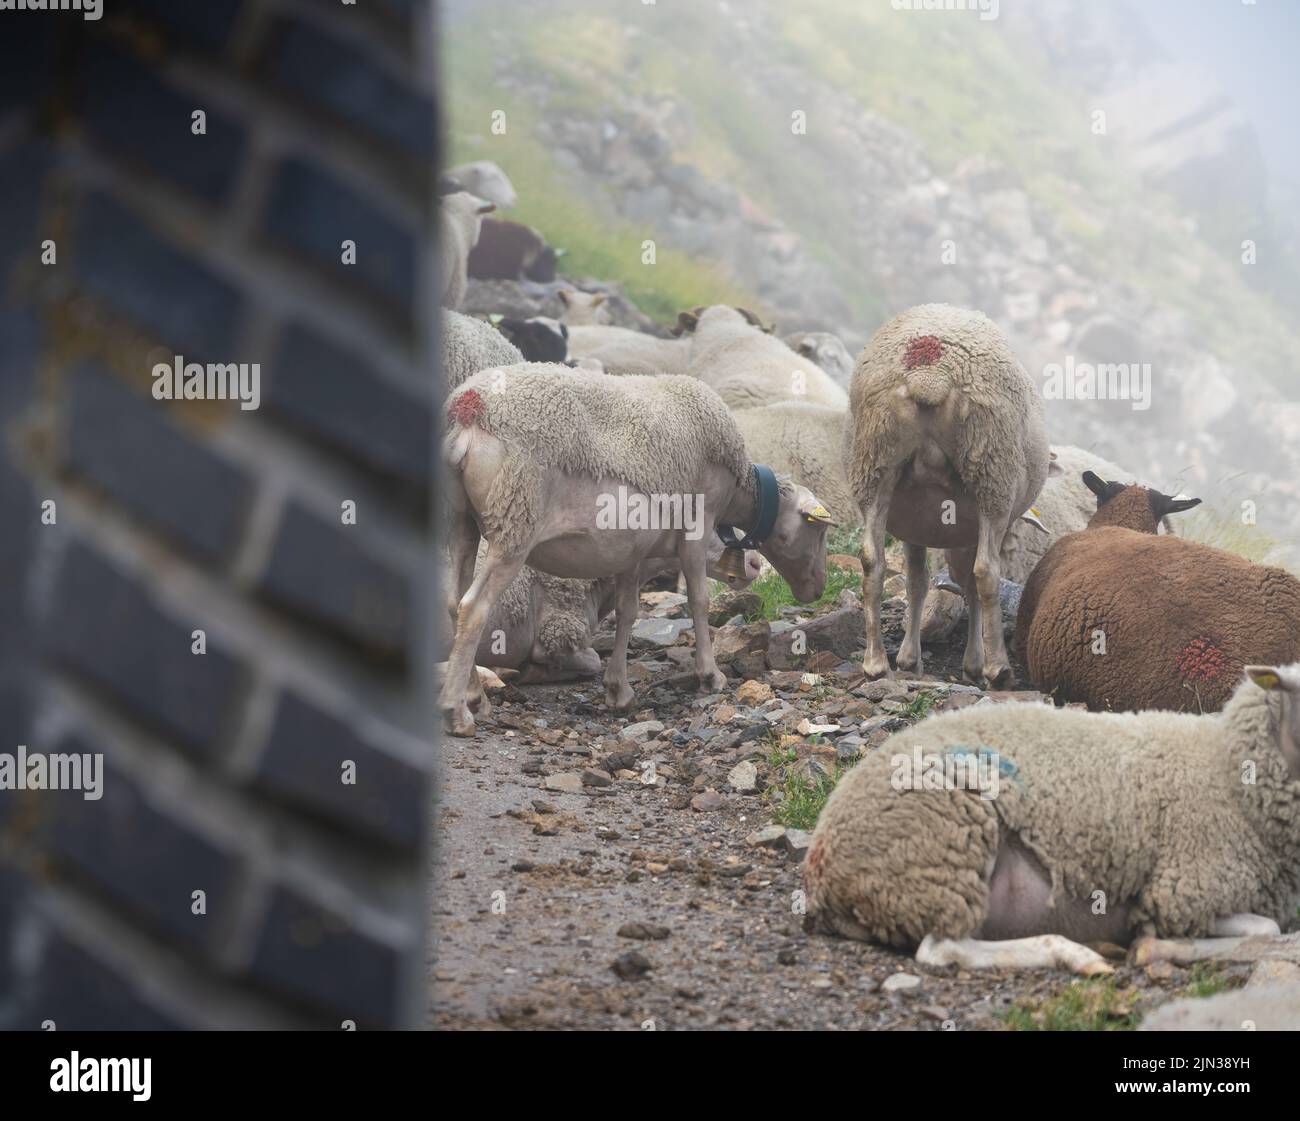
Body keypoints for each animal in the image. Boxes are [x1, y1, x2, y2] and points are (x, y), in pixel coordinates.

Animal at [440, 364, 836, 735]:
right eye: (817, 531)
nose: (818, 588)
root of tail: (470, 409)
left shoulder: (630, 550)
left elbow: (627, 612)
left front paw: (619, 689)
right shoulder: (697, 523)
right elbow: (699, 601)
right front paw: (709, 675)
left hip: (462, 520)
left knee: (454, 602)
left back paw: (475, 698)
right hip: (516, 519)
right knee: (474, 607)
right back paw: (457, 712)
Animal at [805, 663, 1300, 975]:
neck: (1226, 765)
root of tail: (819, 870)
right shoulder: (1179, 891)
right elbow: (1266, 928)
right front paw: (1153, 945)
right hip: (940, 843)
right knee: (941, 949)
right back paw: (1072, 954)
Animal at [846, 303, 1050, 687]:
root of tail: (930, 373)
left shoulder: (914, 526)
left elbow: (917, 582)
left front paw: (909, 658)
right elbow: (967, 582)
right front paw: (973, 662)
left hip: (874, 462)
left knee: (871, 562)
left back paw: (876, 663)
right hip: (992, 472)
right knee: (986, 572)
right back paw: (998, 669)